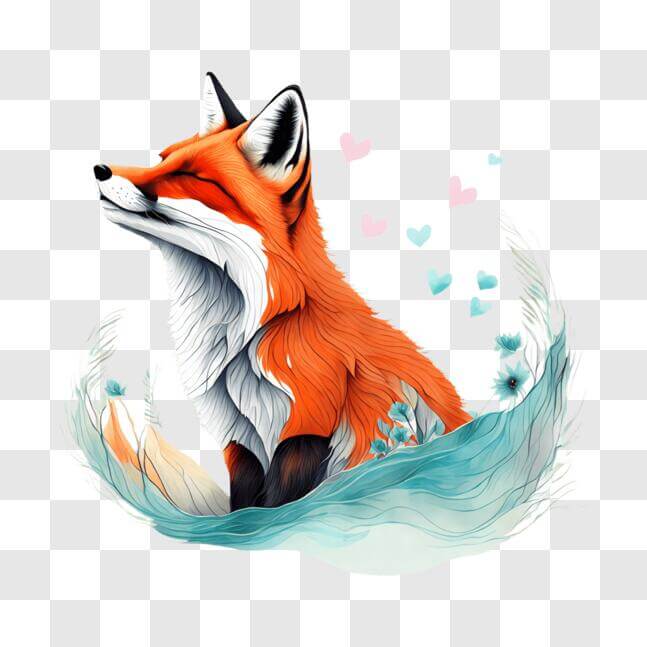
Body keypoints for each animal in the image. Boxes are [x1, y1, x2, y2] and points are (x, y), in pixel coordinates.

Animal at [94, 73, 471, 511]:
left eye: (192, 176)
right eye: (162, 160)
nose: (99, 169)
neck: (254, 329)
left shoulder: (307, 425)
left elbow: (279, 507)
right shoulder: (239, 437)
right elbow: (245, 505)